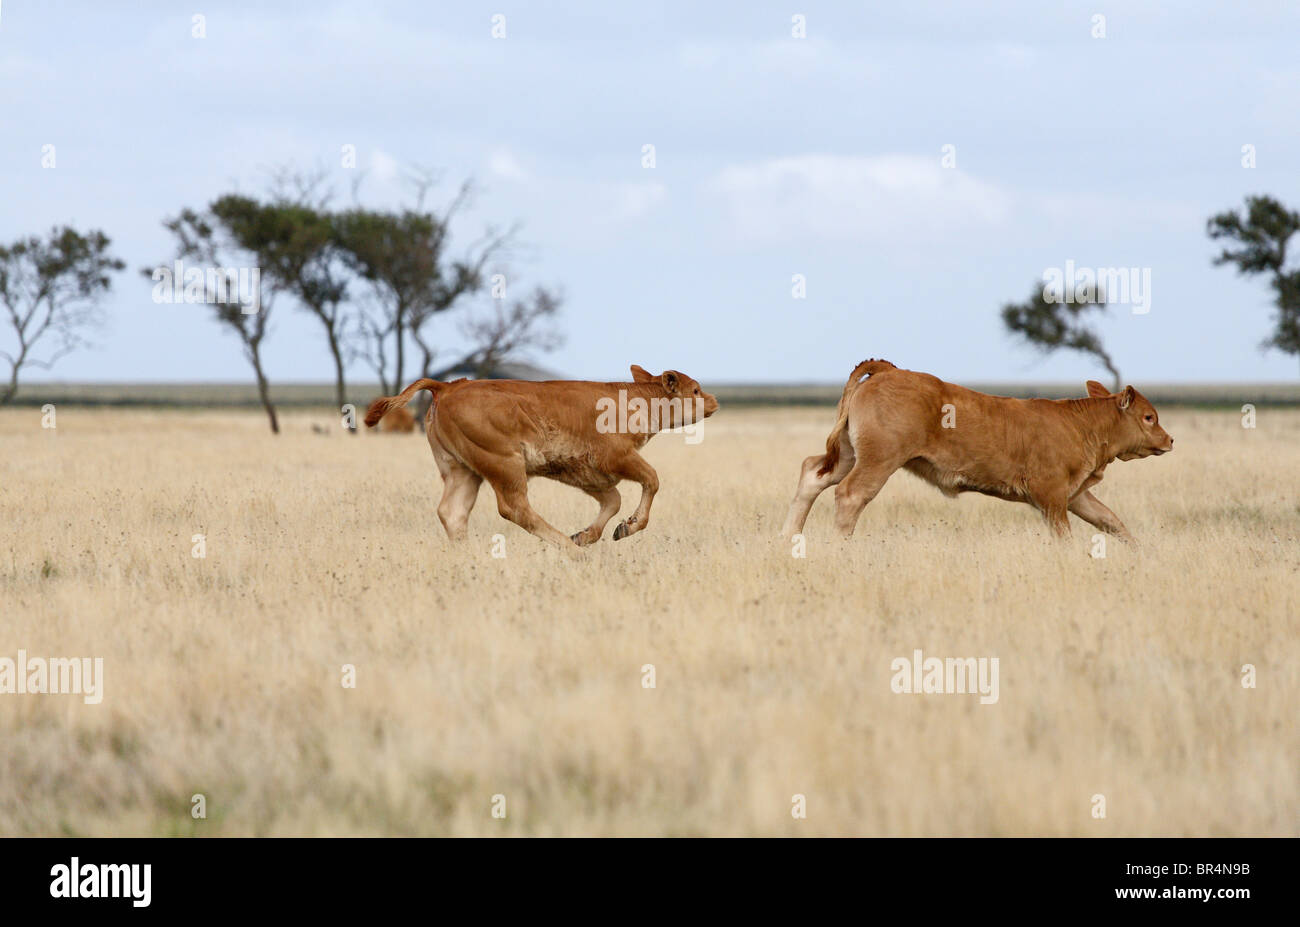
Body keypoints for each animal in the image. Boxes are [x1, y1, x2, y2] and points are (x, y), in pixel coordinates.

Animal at [364, 367, 719, 550]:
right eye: (695, 390)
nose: (714, 400)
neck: (634, 400)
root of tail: (448, 387)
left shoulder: (590, 474)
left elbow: (613, 500)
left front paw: (587, 535)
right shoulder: (617, 459)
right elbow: (651, 481)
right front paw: (625, 528)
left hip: (462, 471)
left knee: (453, 513)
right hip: (504, 465)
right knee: (515, 509)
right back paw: (571, 552)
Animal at [780, 359, 1173, 542]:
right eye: (1149, 416)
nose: (1169, 440)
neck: (1082, 423)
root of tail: (887, 371)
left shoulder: (1075, 495)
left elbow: (1110, 520)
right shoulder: (1051, 495)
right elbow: (1065, 534)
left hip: (849, 456)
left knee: (812, 474)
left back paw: (787, 539)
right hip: (877, 462)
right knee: (850, 495)